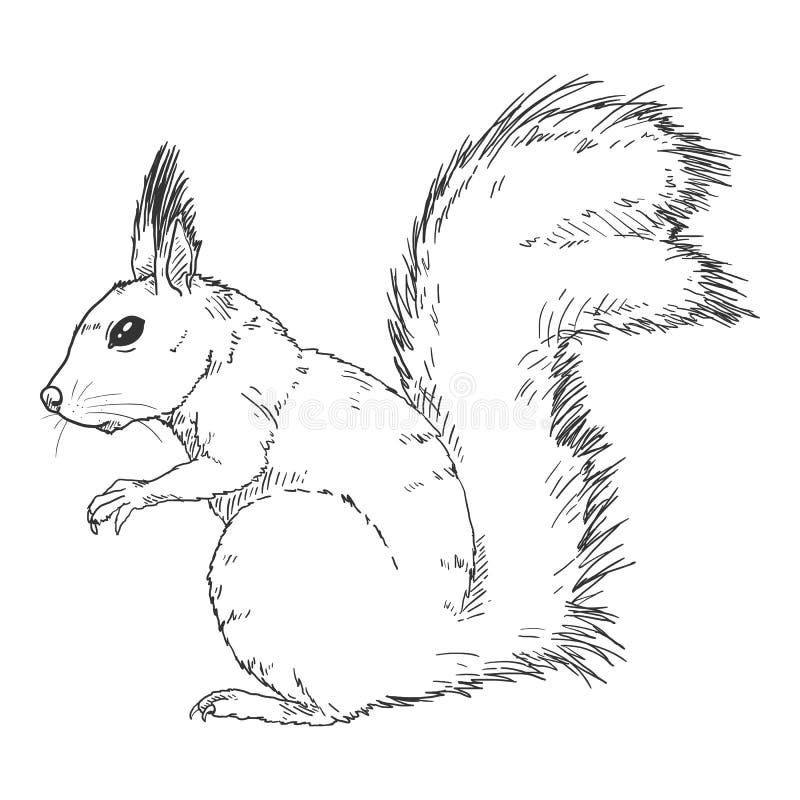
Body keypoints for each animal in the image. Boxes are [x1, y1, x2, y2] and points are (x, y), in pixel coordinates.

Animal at [41, 77, 751, 725]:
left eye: (127, 331)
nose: (49, 396)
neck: (221, 351)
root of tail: (420, 656)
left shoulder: (245, 417)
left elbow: (221, 469)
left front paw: (125, 493)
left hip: (269, 551)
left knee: (335, 709)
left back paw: (254, 704)